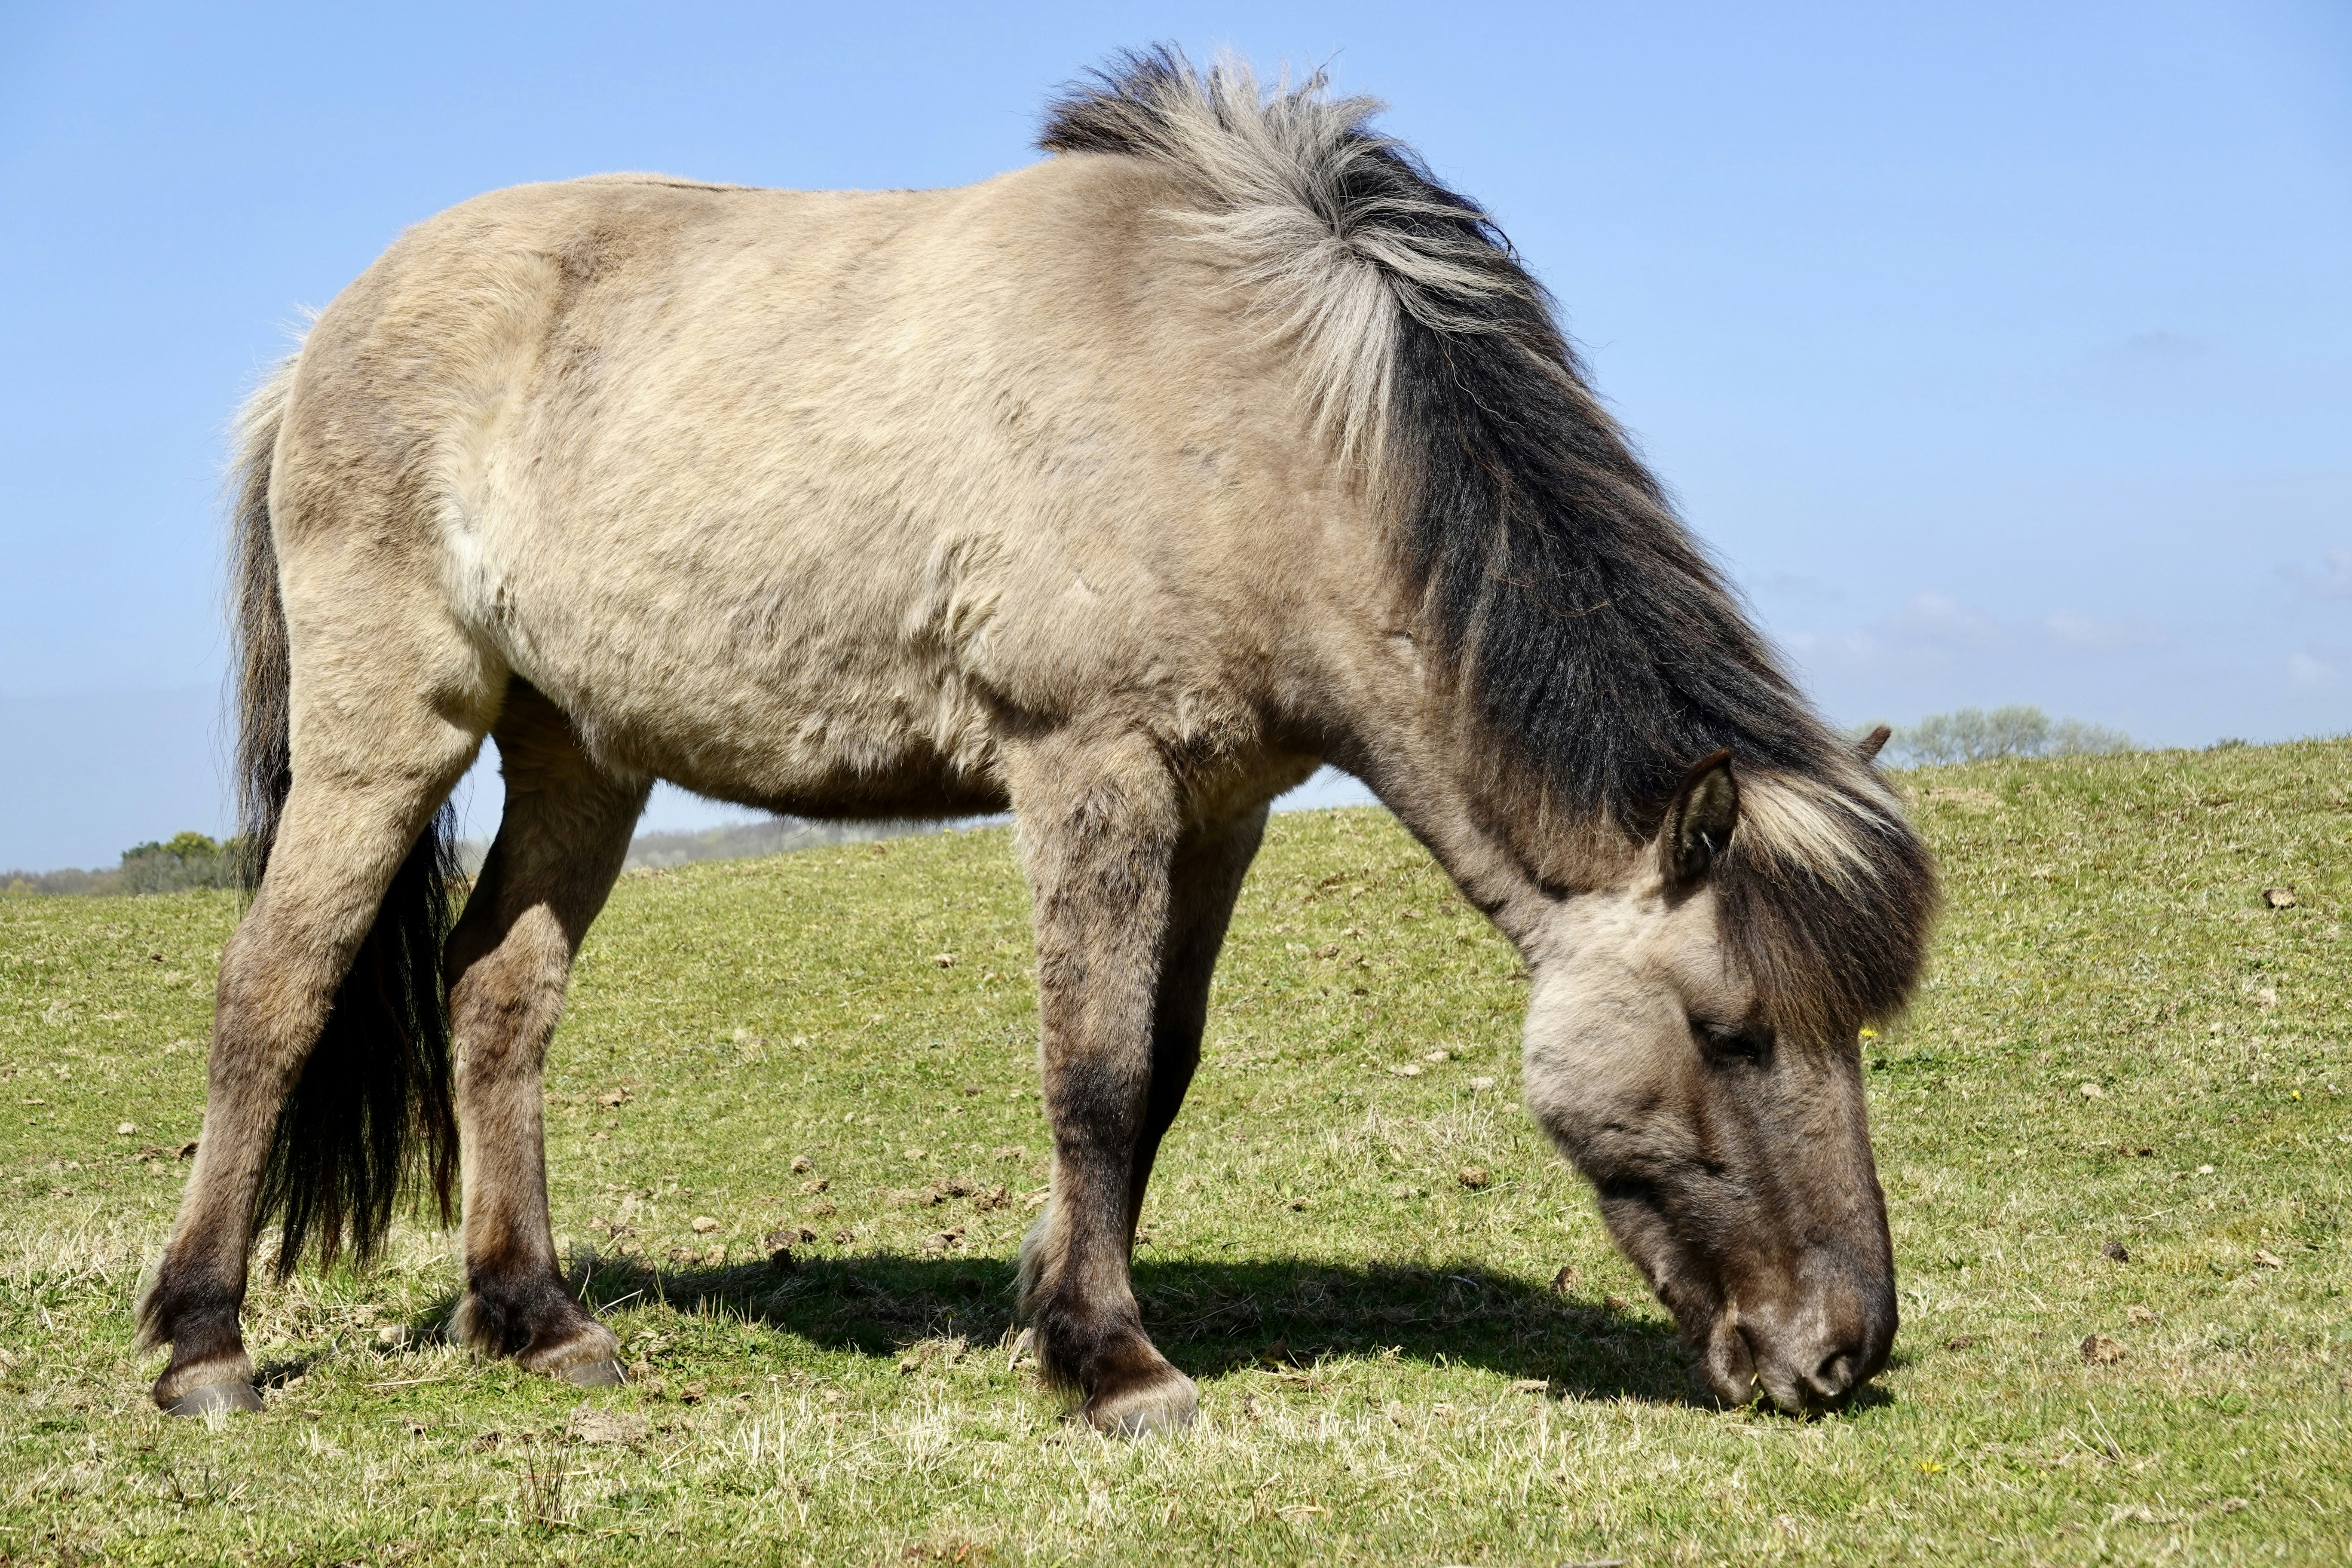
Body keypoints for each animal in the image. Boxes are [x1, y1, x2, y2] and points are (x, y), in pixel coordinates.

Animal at [137, 49, 1936, 1433]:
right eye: (1728, 1030)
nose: (1840, 1349)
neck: (1255, 407)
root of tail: (320, 337)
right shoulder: (1090, 770)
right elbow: (1093, 1068)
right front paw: (1115, 1362)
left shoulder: (1223, 807)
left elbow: (1160, 1068)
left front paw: (1062, 1310)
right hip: (391, 733)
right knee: (272, 992)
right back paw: (204, 1339)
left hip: (585, 753)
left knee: (496, 995)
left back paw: (535, 1315)